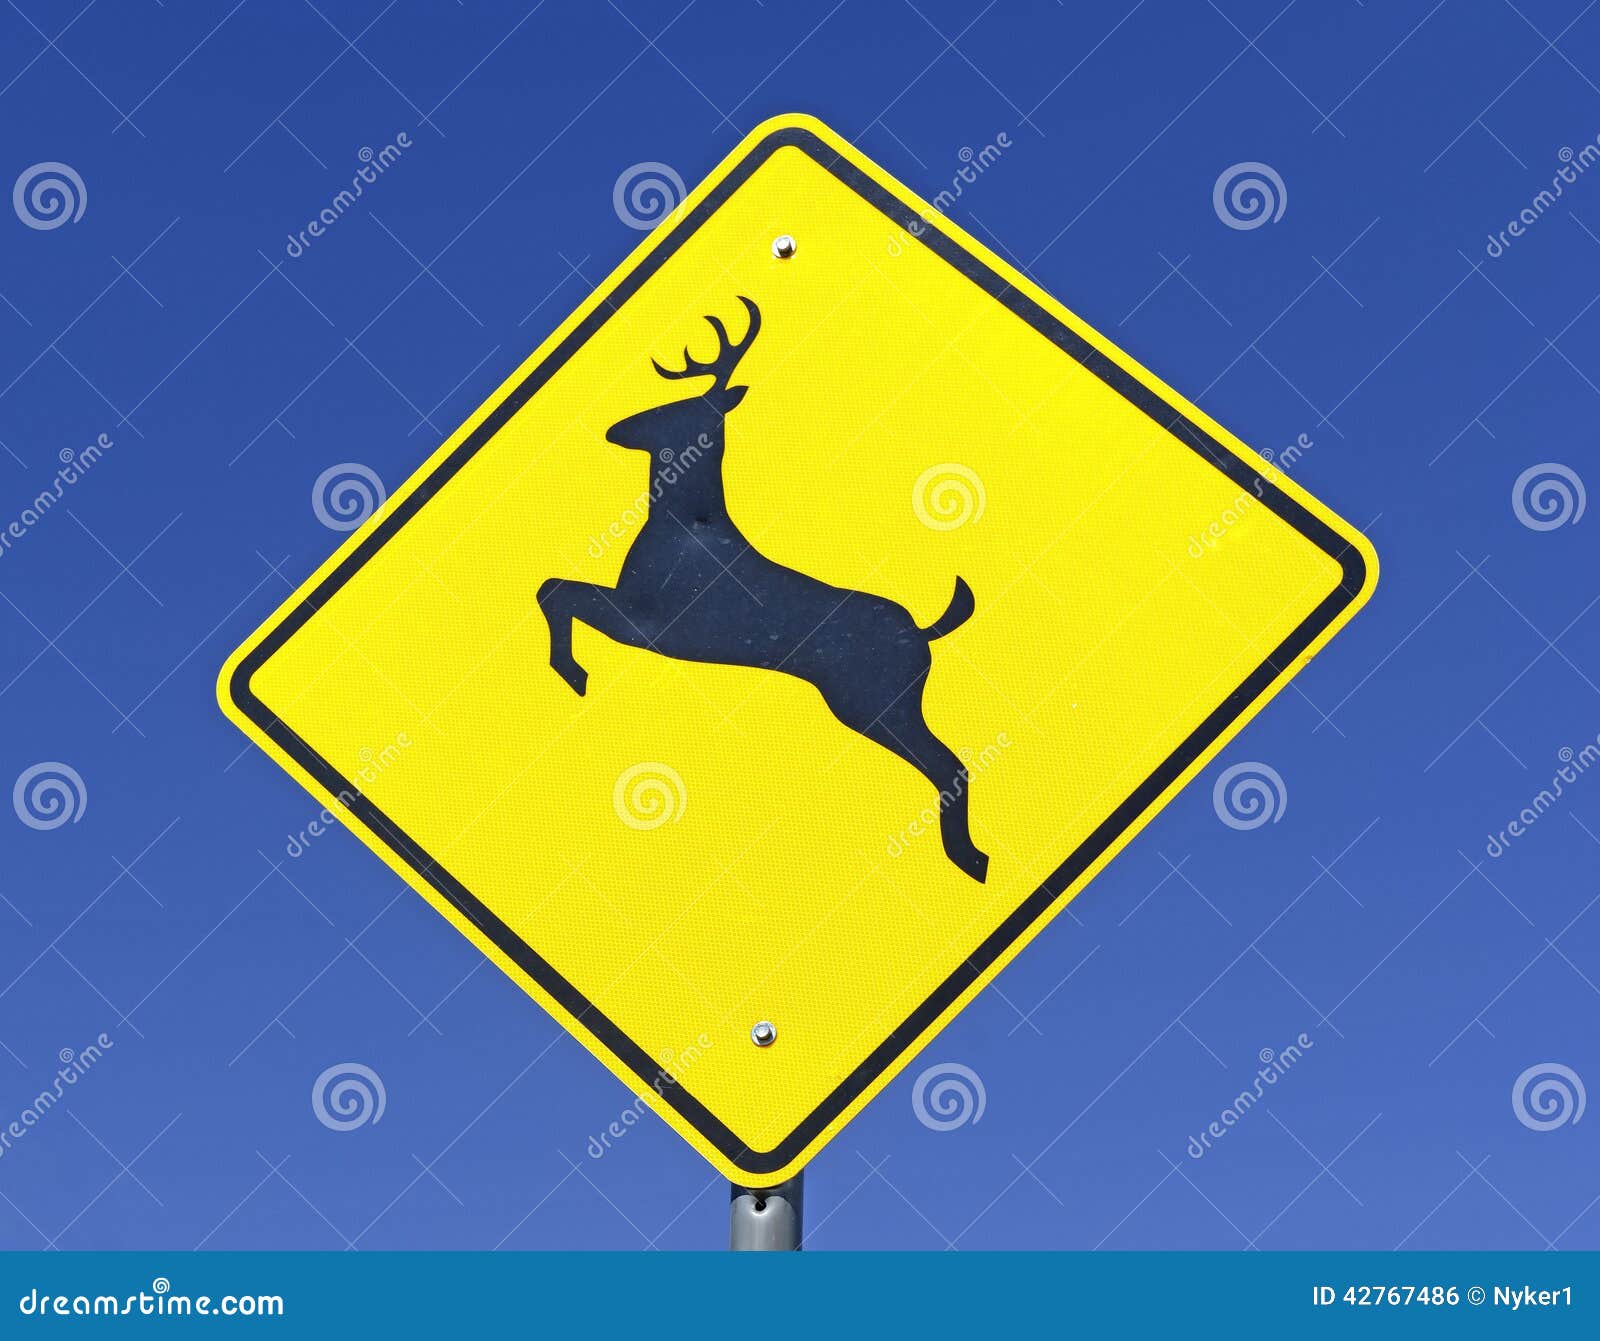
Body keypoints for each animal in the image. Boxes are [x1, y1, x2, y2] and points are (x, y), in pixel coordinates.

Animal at [537, 297, 988, 882]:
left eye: (674, 407)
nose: (616, 428)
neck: (683, 518)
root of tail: (925, 633)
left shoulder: (651, 622)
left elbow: (556, 589)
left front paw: (574, 674)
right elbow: (556, 588)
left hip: (876, 700)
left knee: (949, 763)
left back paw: (970, 860)